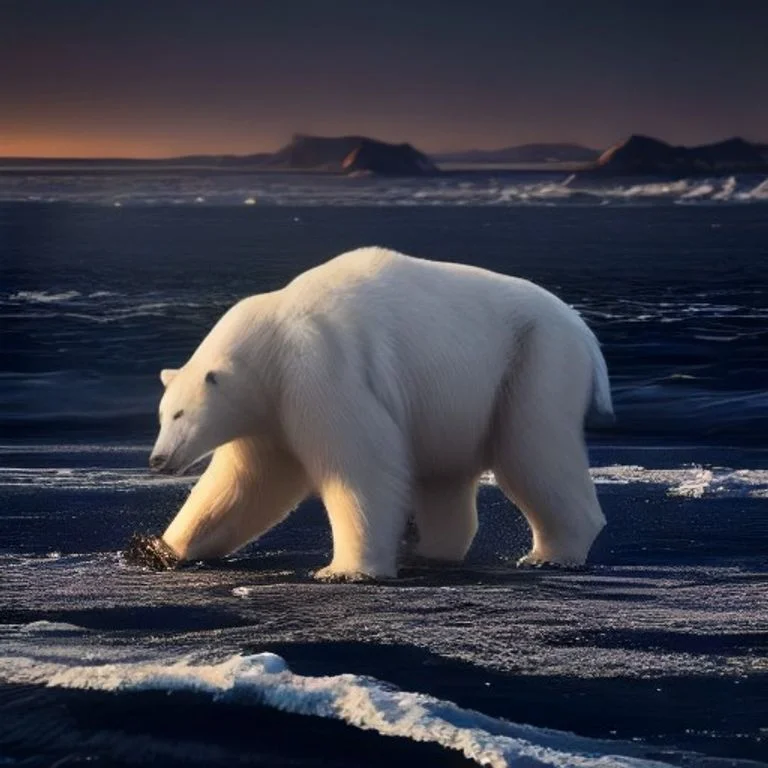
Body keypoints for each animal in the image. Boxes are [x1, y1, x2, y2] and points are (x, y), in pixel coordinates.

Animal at [145, 247, 612, 580]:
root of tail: (583, 331)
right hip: (457, 401)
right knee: (445, 479)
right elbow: (248, 483)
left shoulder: (317, 369)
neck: (270, 337)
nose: (158, 460)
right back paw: (429, 552)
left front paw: (345, 571)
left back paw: (550, 554)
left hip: (534, 361)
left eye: (181, 414)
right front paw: (158, 549)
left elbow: (359, 464)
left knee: (534, 450)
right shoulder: (270, 409)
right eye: (162, 415)